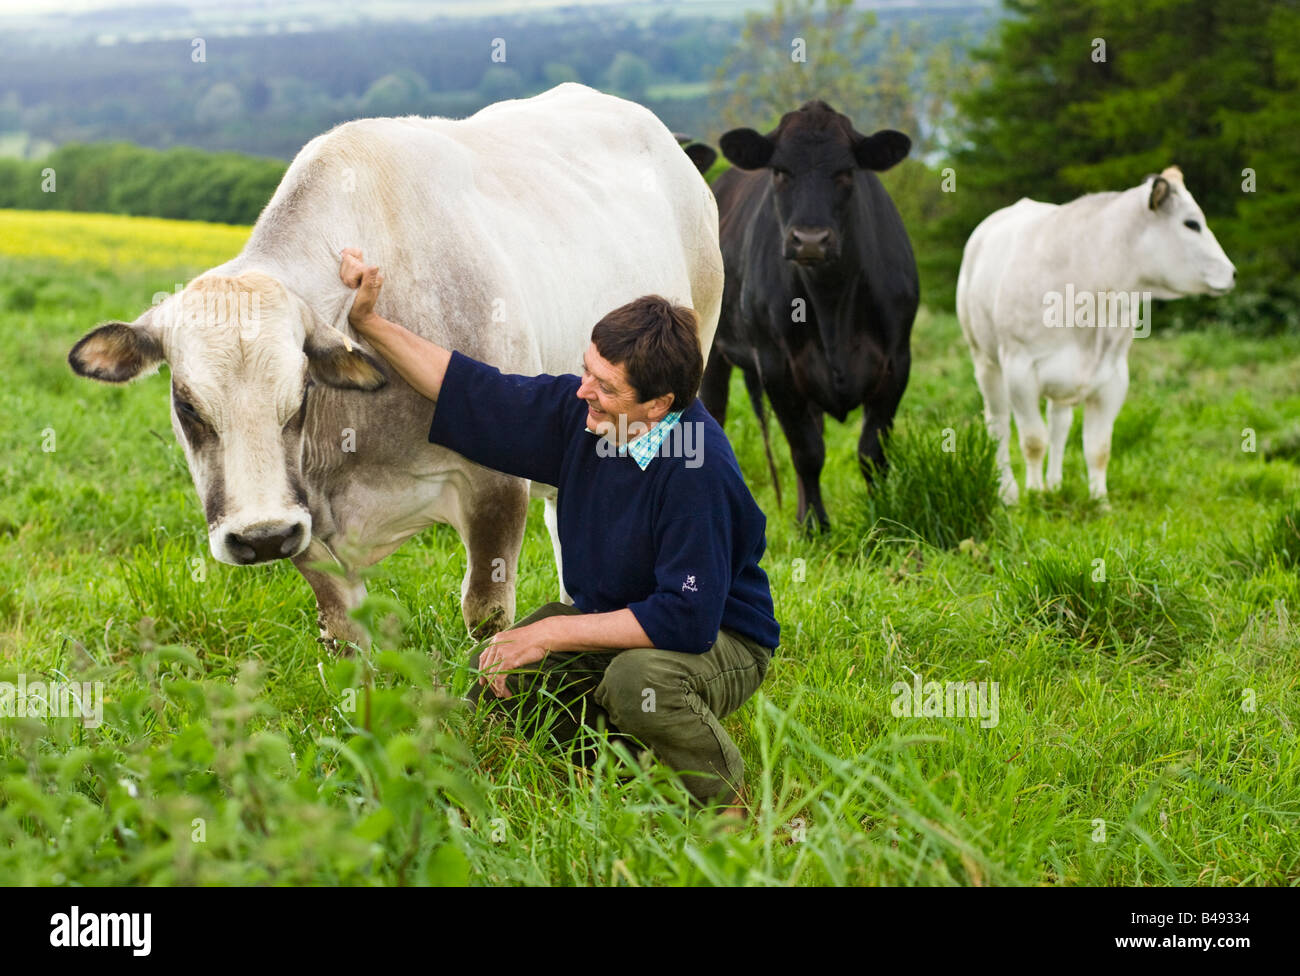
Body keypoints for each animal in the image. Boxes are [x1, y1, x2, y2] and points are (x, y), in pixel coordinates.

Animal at [66, 82, 724, 651]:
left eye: (300, 394)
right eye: (186, 403)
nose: (261, 537)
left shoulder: (495, 491)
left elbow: (486, 618)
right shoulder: (306, 517)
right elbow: (344, 627)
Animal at [700, 100, 919, 532]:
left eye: (846, 171)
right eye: (781, 171)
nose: (811, 240)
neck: (832, 299)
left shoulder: (897, 361)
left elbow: (872, 452)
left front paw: (881, 516)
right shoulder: (777, 366)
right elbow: (807, 451)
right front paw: (814, 526)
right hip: (713, 350)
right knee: (715, 412)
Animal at [956, 166, 1235, 507]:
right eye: (1191, 223)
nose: (1232, 273)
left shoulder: (1112, 377)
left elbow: (1098, 447)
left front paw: (1100, 502)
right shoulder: (1020, 371)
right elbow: (1033, 440)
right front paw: (1033, 493)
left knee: (1059, 424)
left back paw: (1054, 485)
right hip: (985, 361)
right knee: (998, 425)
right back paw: (1009, 492)